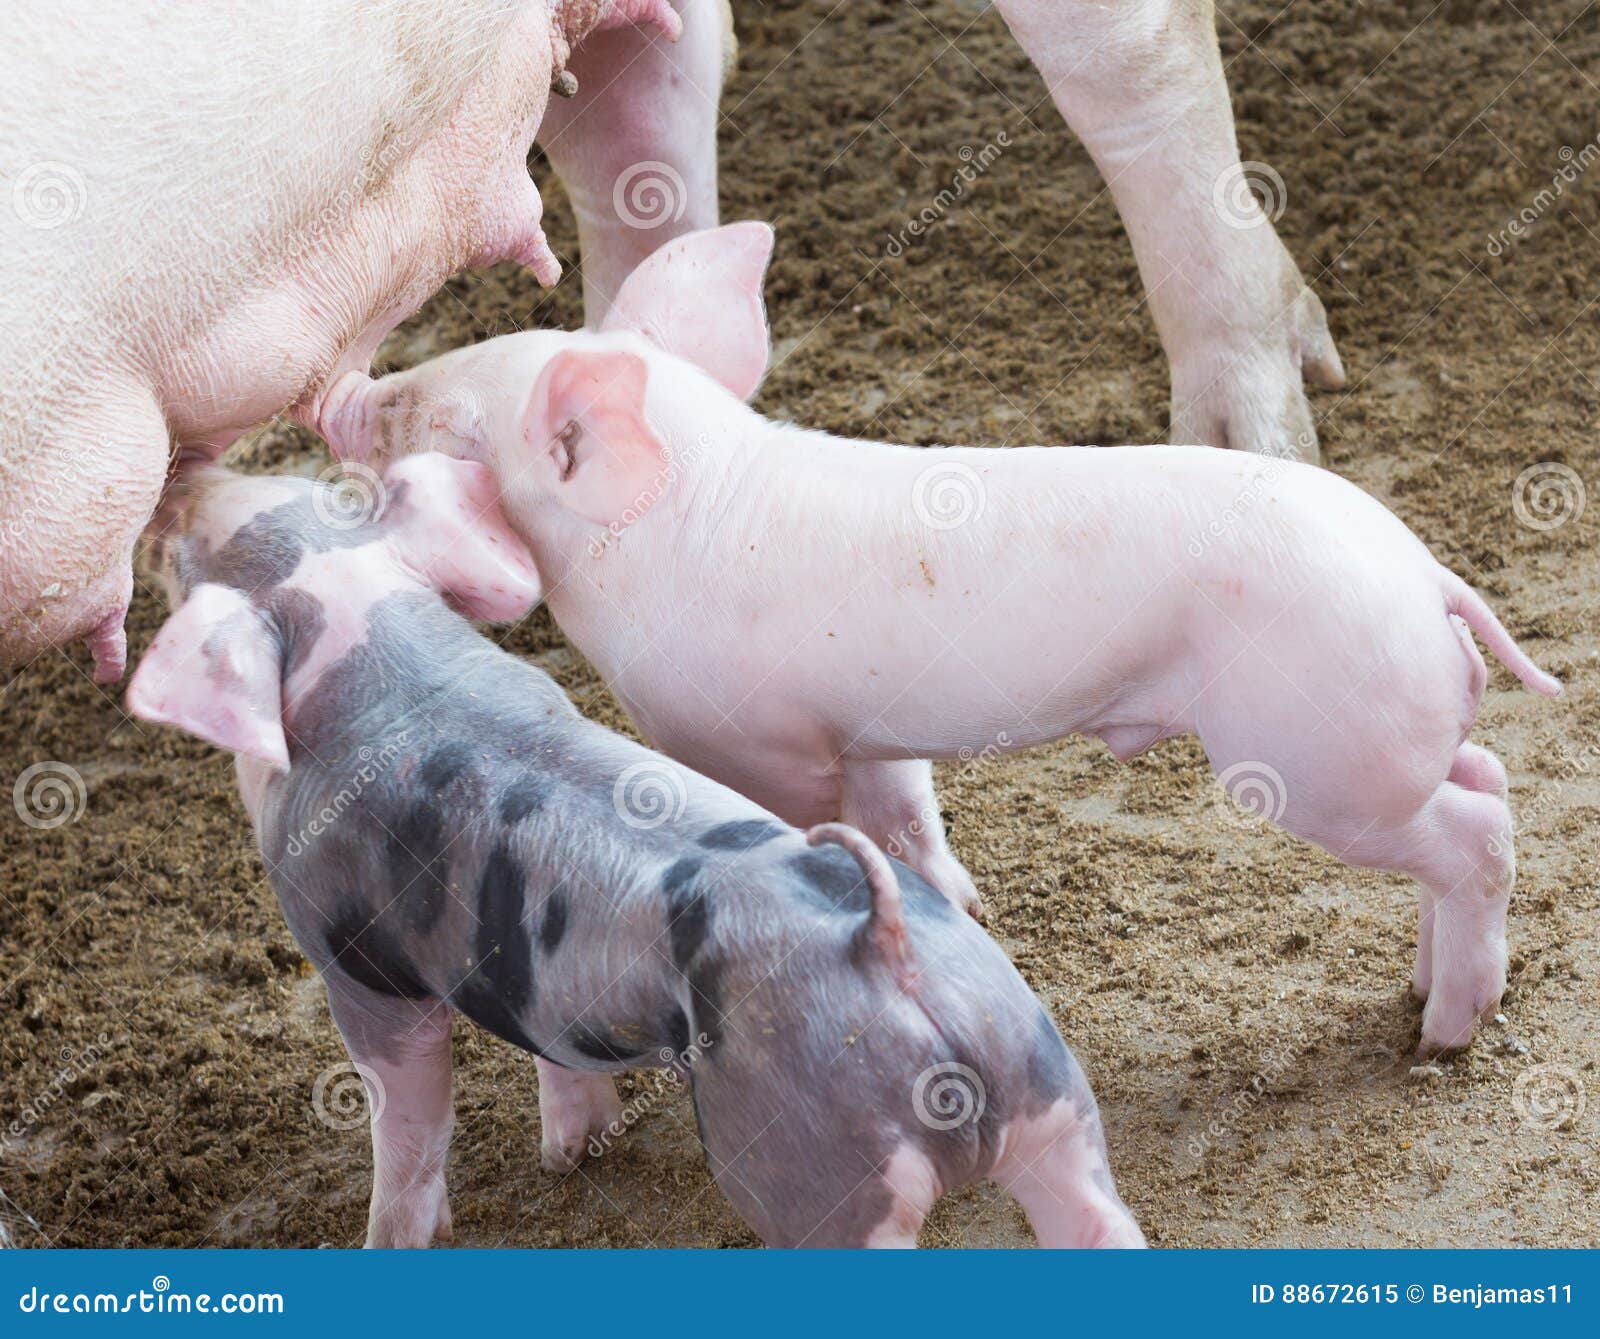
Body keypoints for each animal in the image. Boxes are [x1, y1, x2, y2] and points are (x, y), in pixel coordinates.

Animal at [125, 452, 1144, 1249]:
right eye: (296, 485)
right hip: (1045, 1078)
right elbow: (549, 1048)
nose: (182, 476)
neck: (386, 667)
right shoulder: (519, 966)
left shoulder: (356, 963)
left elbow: (405, 1126)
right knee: (1096, 1216)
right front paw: (570, 1154)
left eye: (181, 561)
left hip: (825, 1169)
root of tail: (881, 946)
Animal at [322, 223, 1563, 1060]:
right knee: (1484, 773)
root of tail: (1427, 577)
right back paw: (1421, 990)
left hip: (1313, 749)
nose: (341, 392)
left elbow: (798, 818)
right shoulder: (866, 725)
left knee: (1475, 832)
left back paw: (1444, 1033)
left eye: (447, 417)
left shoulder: (752, 734)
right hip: (1383, 734)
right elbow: (906, 813)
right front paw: (959, 913)